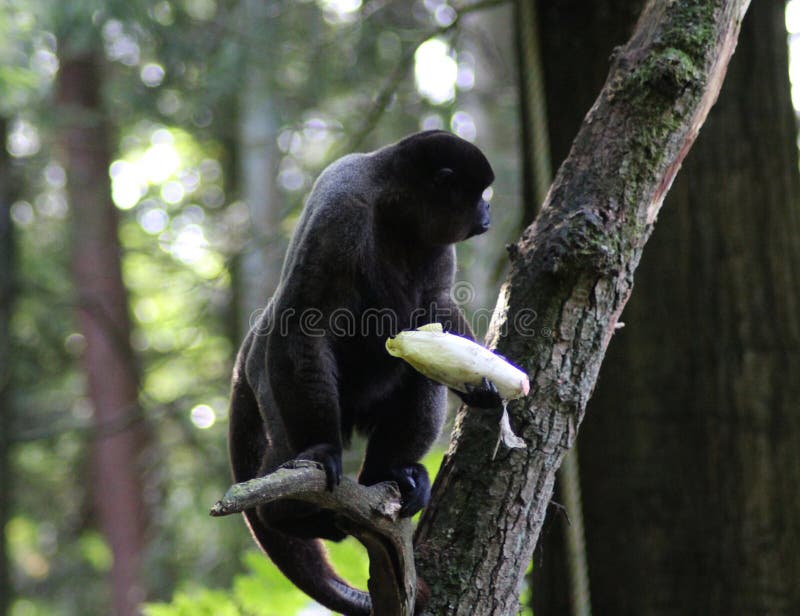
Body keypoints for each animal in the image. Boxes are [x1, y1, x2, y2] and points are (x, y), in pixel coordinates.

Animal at [228, 130, 502, 615]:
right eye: (479, 195)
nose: (489, 211)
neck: (396, 212)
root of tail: (250, 348)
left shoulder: (440, 249)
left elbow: (437, 309)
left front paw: (482, 381)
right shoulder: (341, 212)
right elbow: (305, 319)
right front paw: (322, 451)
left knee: (418, 373)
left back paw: (388, 474)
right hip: (273, 384)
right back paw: (286, 511)